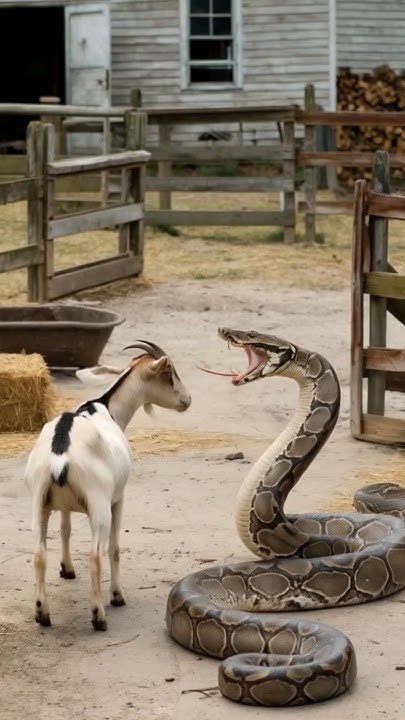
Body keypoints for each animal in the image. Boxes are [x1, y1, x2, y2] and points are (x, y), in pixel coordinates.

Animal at [25, 340, 191, 631]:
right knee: (95, 556)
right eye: (169, 373)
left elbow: (65, 529)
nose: (187, 400)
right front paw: (117, 595)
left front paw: (67, 569)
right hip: (99, 507)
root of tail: (60, 454)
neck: (105, 407)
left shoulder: (63, 505)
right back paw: (99, 615)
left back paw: (42, 613)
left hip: (39, 504)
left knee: (39, 554)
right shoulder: (118, 498)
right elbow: (114, 548)